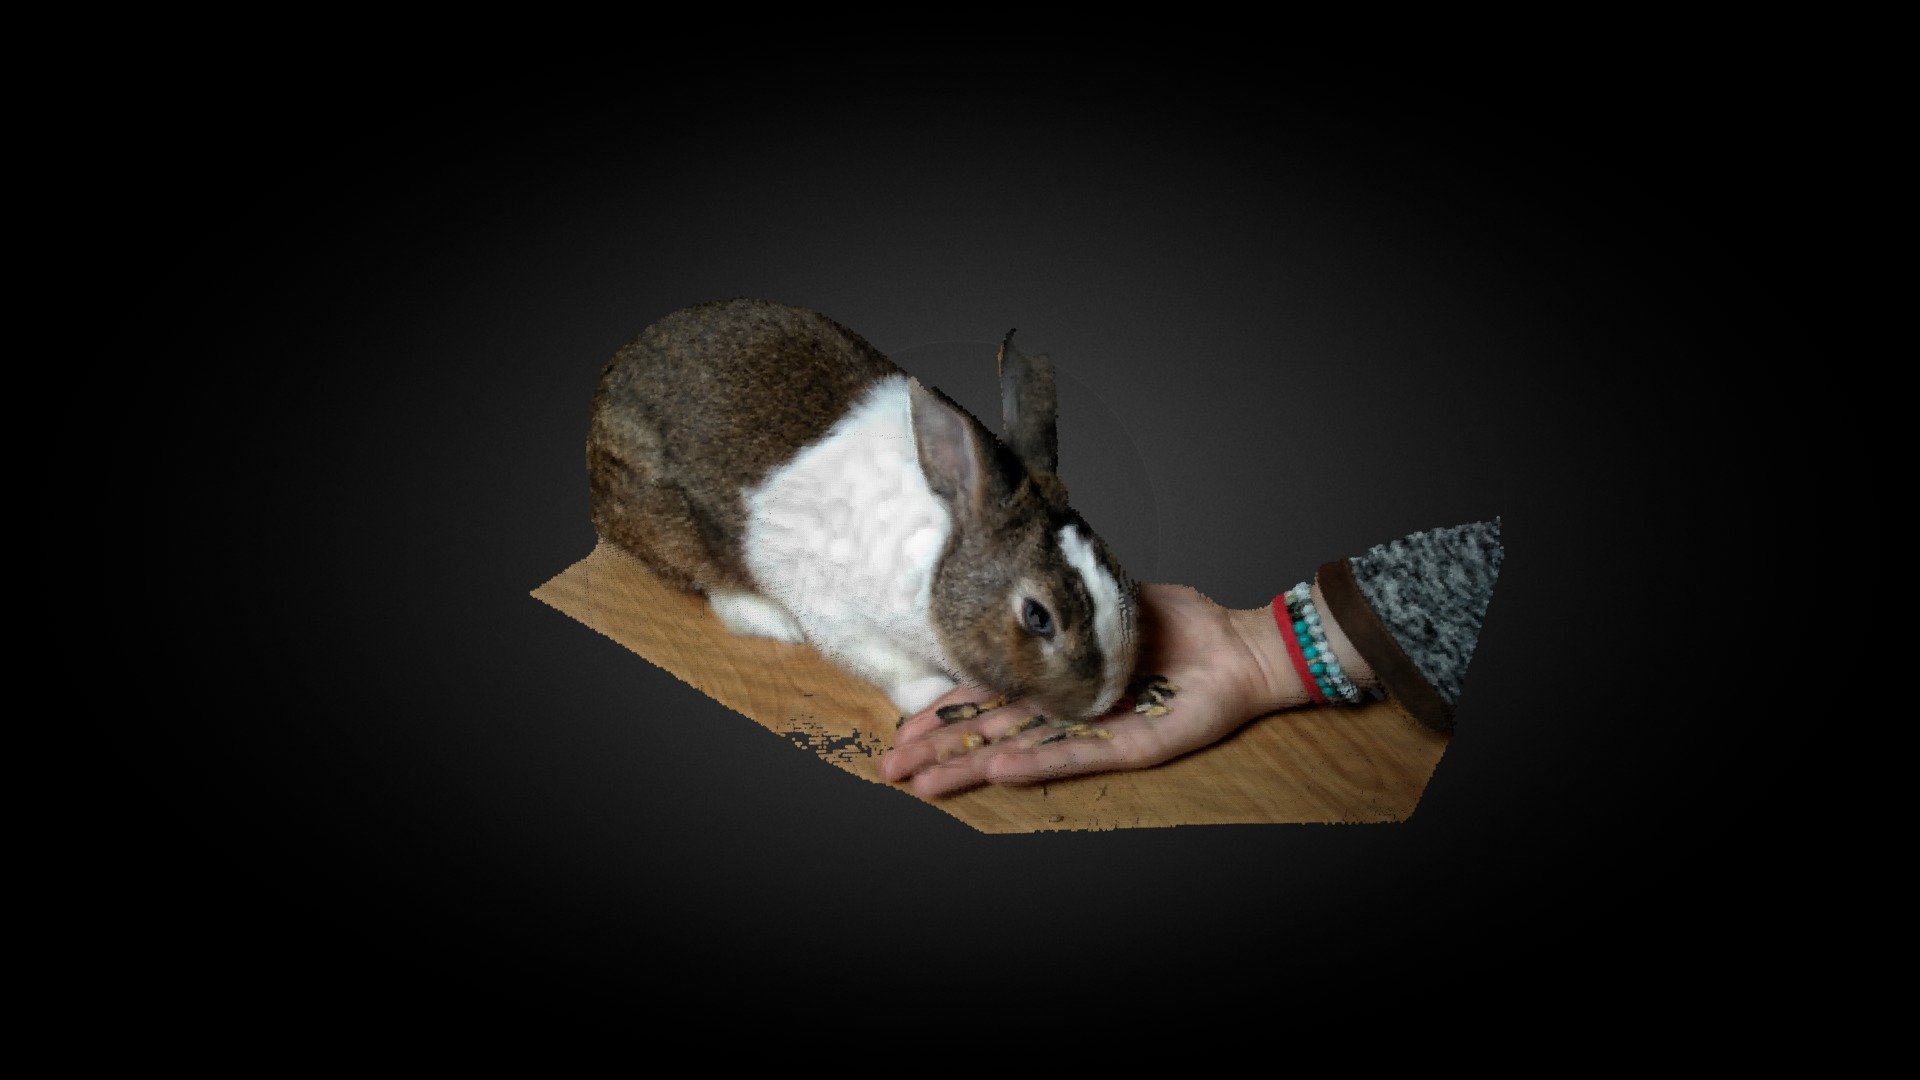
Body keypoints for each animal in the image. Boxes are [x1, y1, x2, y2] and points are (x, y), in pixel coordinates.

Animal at [585, 297, 1139, 723]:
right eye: (1038, 617)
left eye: (1119, 573)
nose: (1102, 703)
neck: (939, 561)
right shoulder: (841, 618)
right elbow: (892, 667)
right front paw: (940, 696)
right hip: (672, 524)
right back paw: (773, 621)